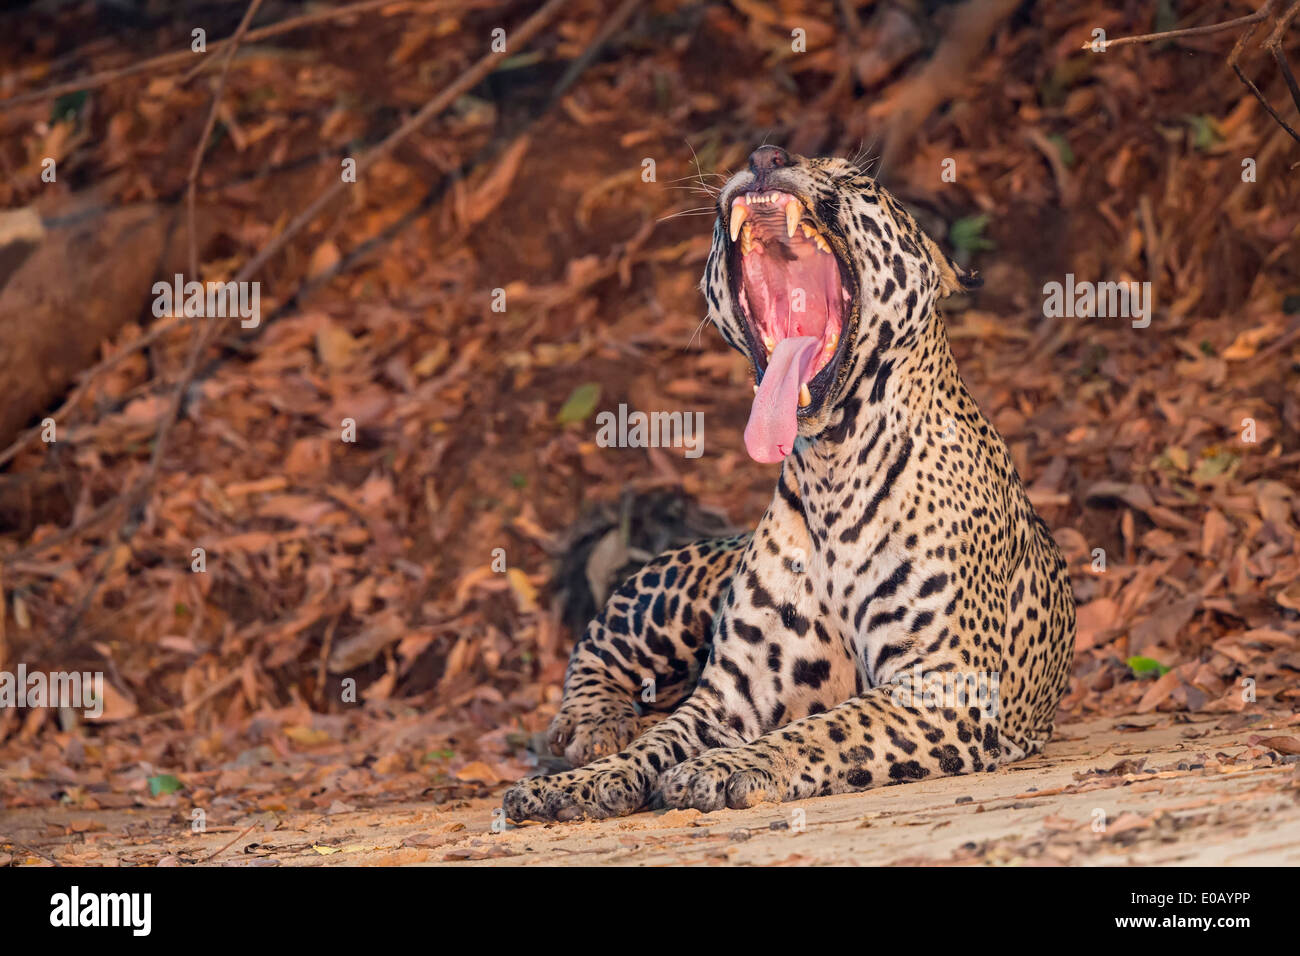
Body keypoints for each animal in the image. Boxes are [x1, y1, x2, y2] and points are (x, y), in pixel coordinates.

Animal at [503, 145, 1076, 822]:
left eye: (853, 178)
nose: (763, 156)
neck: (834, 467)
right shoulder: (732, 695)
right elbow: (658, 741)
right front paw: (580, 783)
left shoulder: (942, 682)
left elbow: (825, 728)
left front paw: (724, 768)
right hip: (679, 592)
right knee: (602, 638)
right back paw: (591, 729)